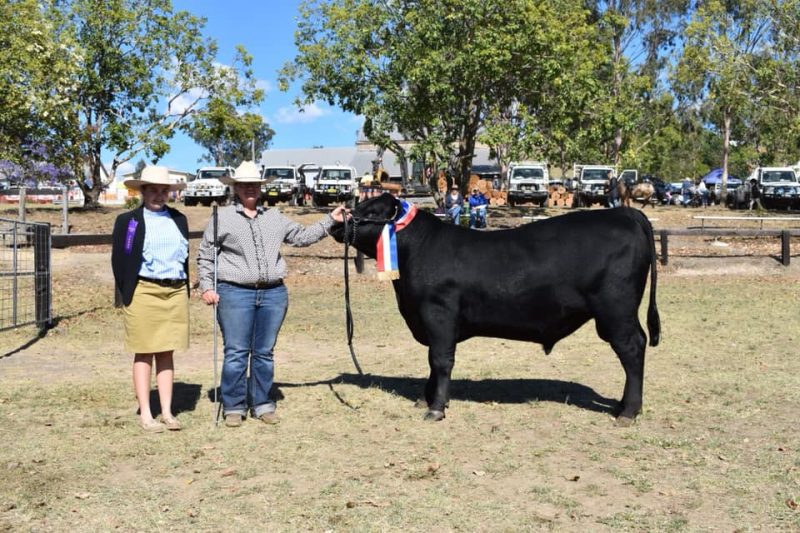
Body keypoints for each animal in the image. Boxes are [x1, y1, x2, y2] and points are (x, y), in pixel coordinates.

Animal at [330, 194, 660, 425]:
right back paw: (623, 405)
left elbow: (440, 360)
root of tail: (625, 212)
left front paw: (436, 407)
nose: (335, 222)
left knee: (632, 348)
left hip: (616, 310)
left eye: (373, 211)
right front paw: (426, 399)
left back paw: (628, 411)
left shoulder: (438, 313)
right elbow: (432, 360)